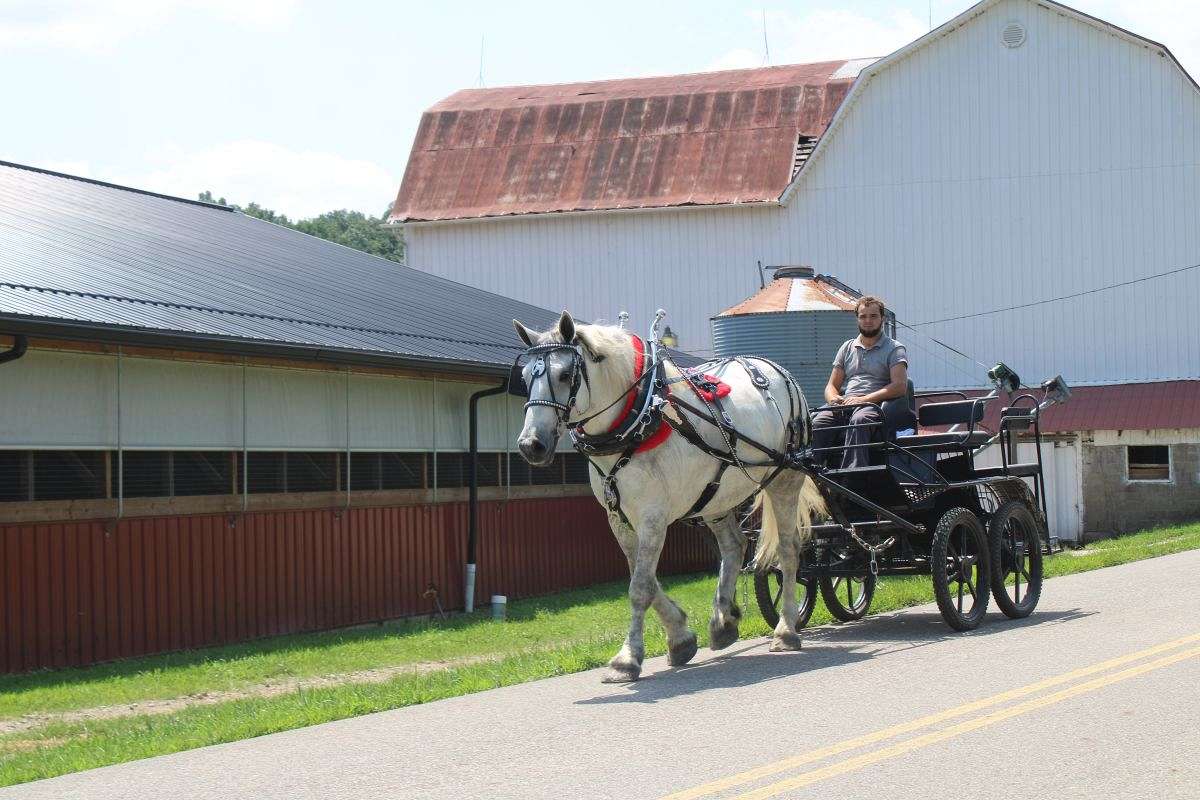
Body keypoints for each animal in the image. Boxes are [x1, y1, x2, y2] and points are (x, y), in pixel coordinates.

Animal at [512, 311, 826, 683]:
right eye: (524, 378)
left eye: (563, 374)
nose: (531, 445)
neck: (639, 416)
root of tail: (777, 369)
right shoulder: (619, 518)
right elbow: (647, 581)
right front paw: (680, 639)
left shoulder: (652, 518)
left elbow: (640, 588)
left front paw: (627, 659)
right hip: (717, 493)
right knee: (733, 545)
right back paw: (723, 621)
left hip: (786, 479)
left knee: (789, 550)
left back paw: (786, 630)